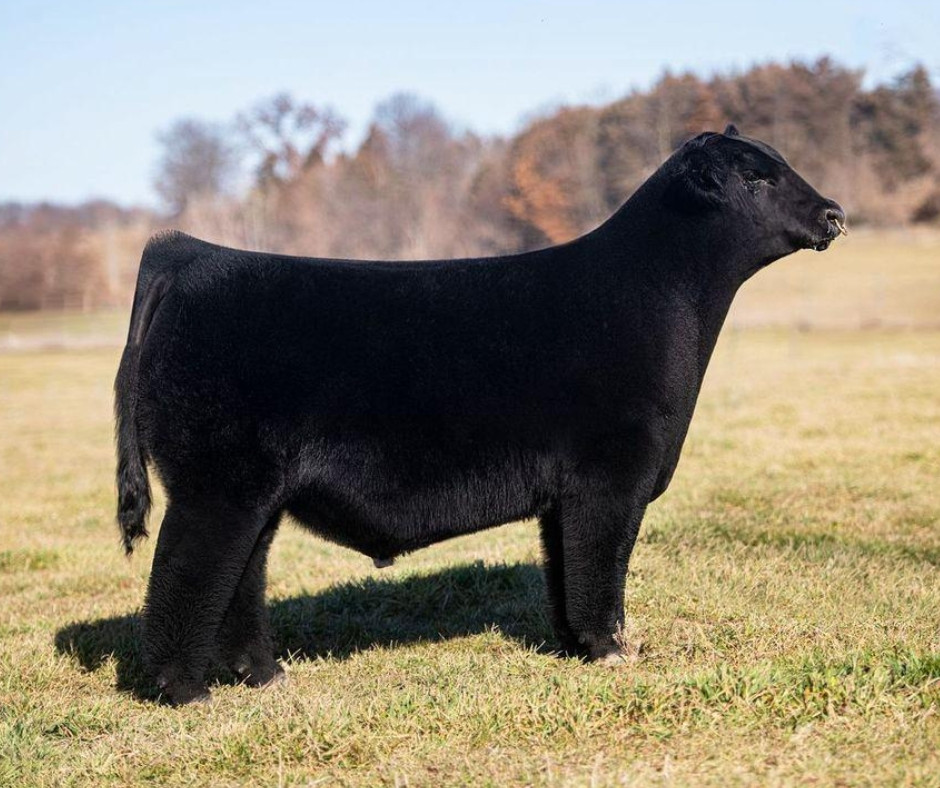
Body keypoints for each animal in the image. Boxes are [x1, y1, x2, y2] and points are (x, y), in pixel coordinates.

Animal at [114, 124, 846, 704]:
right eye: (757, 178)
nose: (835, 212)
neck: (662, 297)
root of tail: (190, 254)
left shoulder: (565, 494)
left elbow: (564, 575)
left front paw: (575, 649)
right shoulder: (611, 479)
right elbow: (600, 572)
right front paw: (615, 651)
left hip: (255, 494)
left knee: (241, 580)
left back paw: (267, 676)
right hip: (217, 486)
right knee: (186, 575)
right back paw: (186, 691)